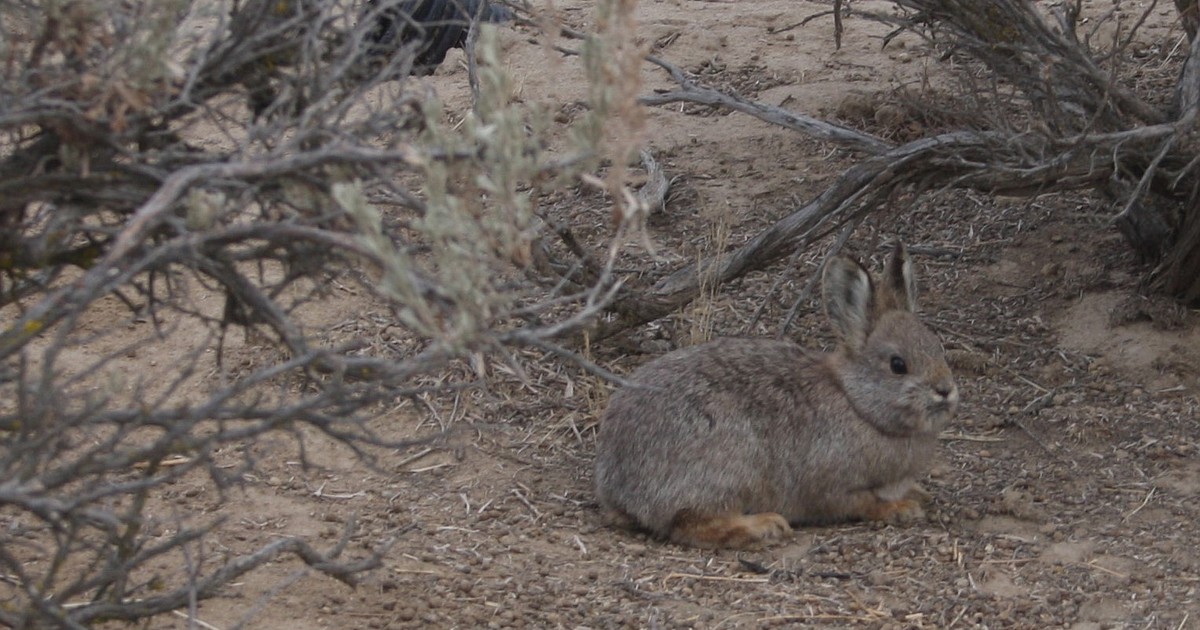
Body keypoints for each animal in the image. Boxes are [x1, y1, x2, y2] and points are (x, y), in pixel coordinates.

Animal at [593, 242, 958, 548]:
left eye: (938, 348)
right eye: (898, 365)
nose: (946, 391)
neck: (858, 404)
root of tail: (617, 481)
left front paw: (918, 494)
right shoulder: (831, 485)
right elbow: (861, 502)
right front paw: (902, 508)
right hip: (730, 464)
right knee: (689, 523)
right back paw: (764, 526)